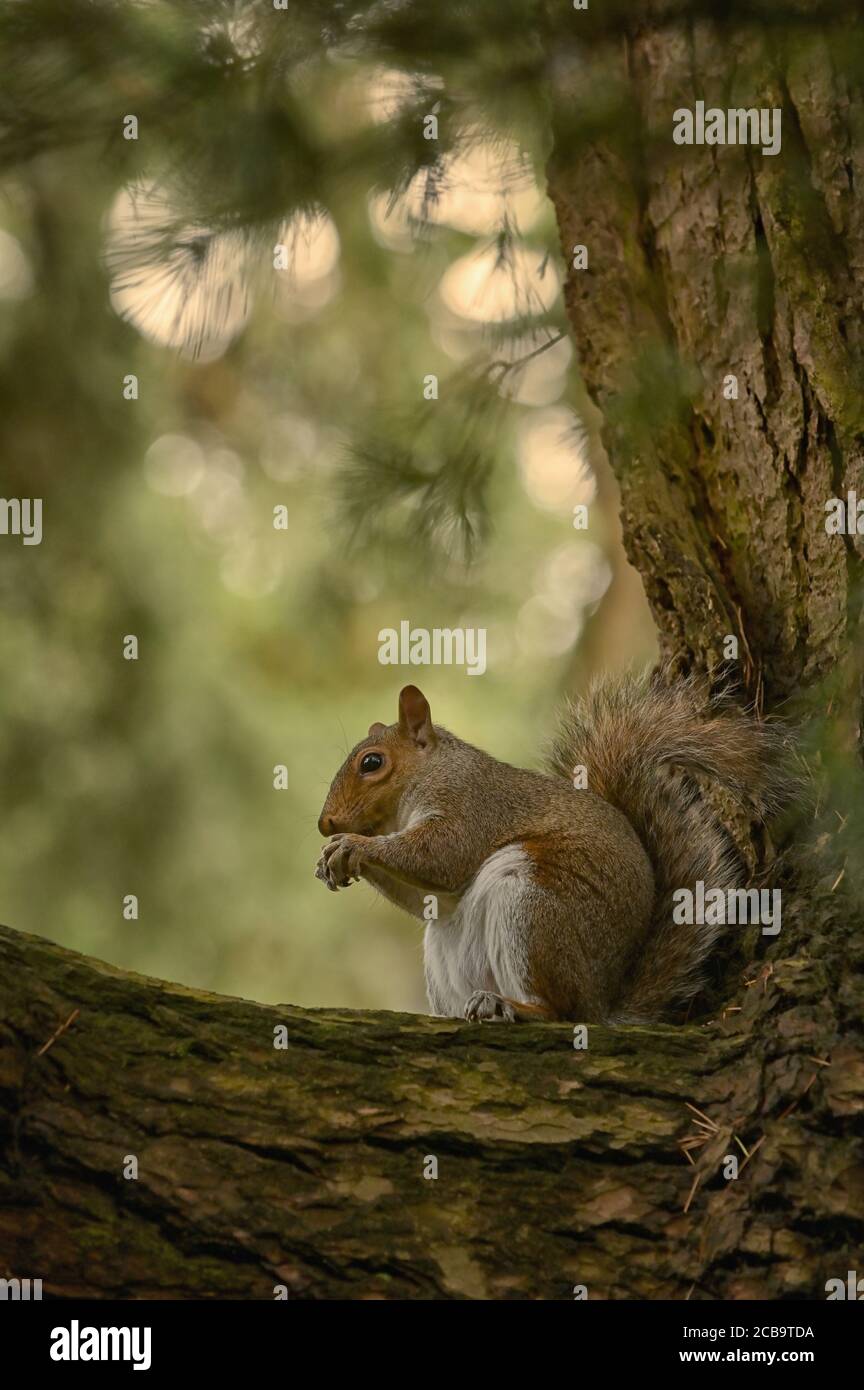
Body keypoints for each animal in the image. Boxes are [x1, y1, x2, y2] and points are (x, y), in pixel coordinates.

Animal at [315, 671, 792, 1024]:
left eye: (372, 762)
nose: (325, 824)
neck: (429, 772)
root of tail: (601, 1004)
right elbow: (429, 897)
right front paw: (333, 860)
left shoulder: (471, 804)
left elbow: (443, 856)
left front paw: (355, 846)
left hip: (534, 908)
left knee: (560, 1011)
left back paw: (511, 1006)